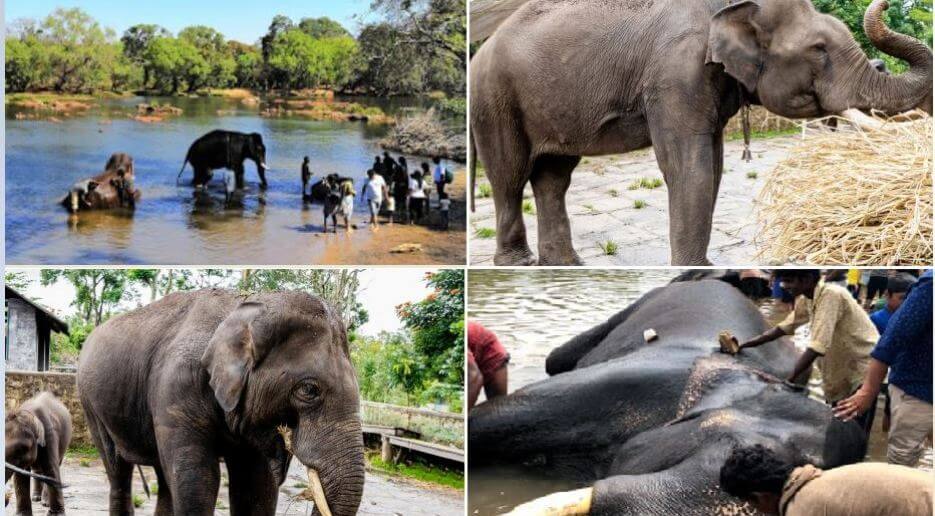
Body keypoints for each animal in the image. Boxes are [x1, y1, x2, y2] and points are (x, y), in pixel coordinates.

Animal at [76, 289, 364, 516]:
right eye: (309, 390)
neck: (246, 307)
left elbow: (256, 486)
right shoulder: (177, 387)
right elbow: (197, 479)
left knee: (164, 476)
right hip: (90, 402)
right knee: (118, 469)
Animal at [468, 0, 933, 265]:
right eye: (819, 50)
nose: (879, 64)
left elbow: (715, 163)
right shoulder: (675, 72)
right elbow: (688, 164)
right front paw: (692, 272)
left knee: (553, 176)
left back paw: (565, 266)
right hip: (495, 100)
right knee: (509, 176)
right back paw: (517, 265)